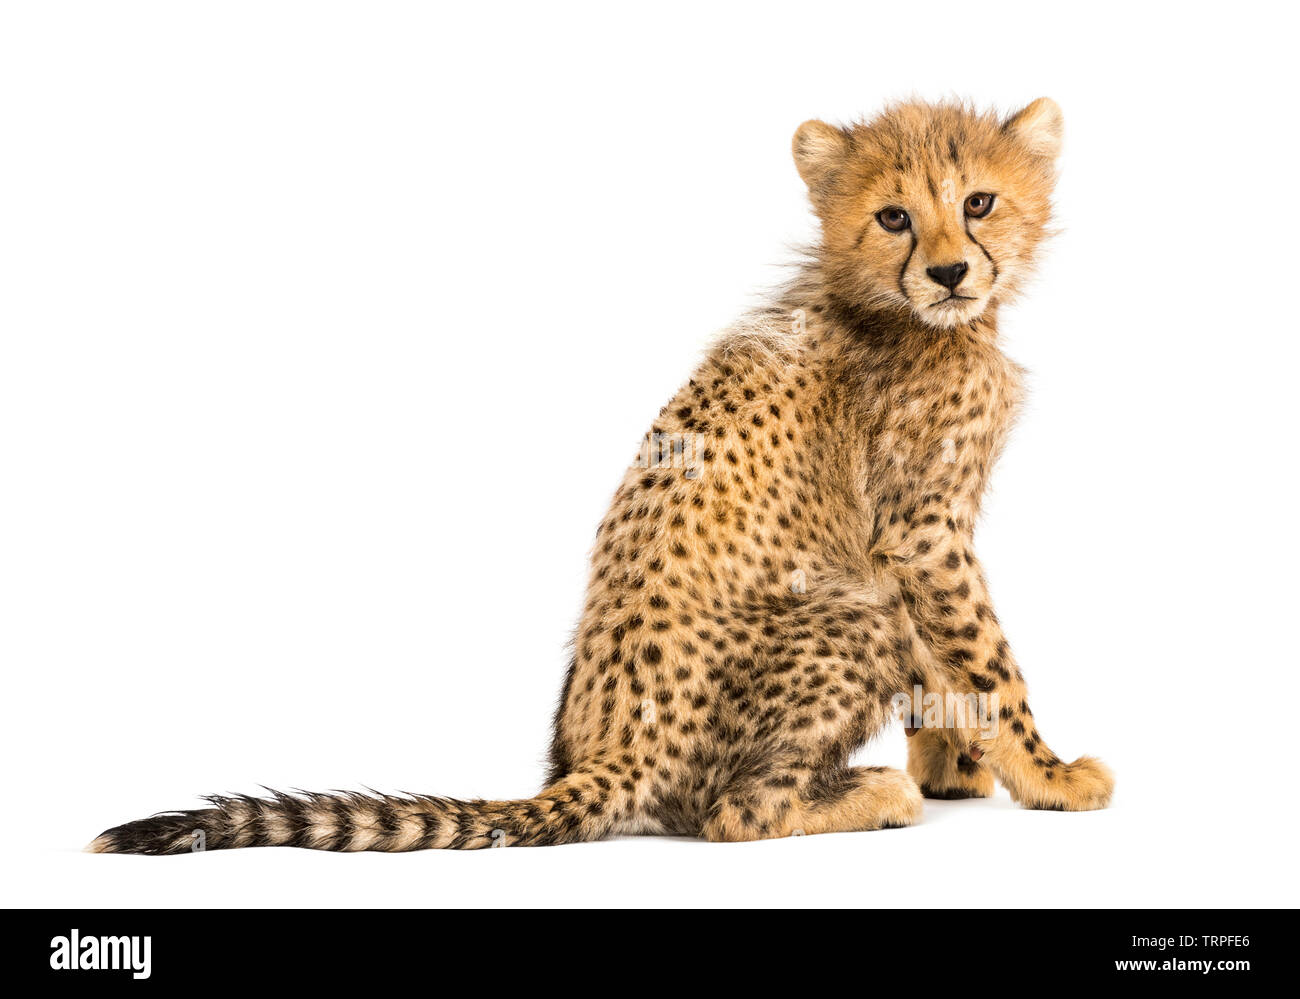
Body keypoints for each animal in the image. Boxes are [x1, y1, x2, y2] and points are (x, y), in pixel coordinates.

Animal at [89, 96, 1113, 854]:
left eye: (977, 203)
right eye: (894, 216)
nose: (949, 272)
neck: (913, 317)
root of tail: (606, 751)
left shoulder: (924, 534)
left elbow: (952, 666)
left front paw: (955, 760)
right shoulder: (920, 534)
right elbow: (987, 659)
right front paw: (1051, 774)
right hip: (852, 614)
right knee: (734, 812)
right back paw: (877, 793)